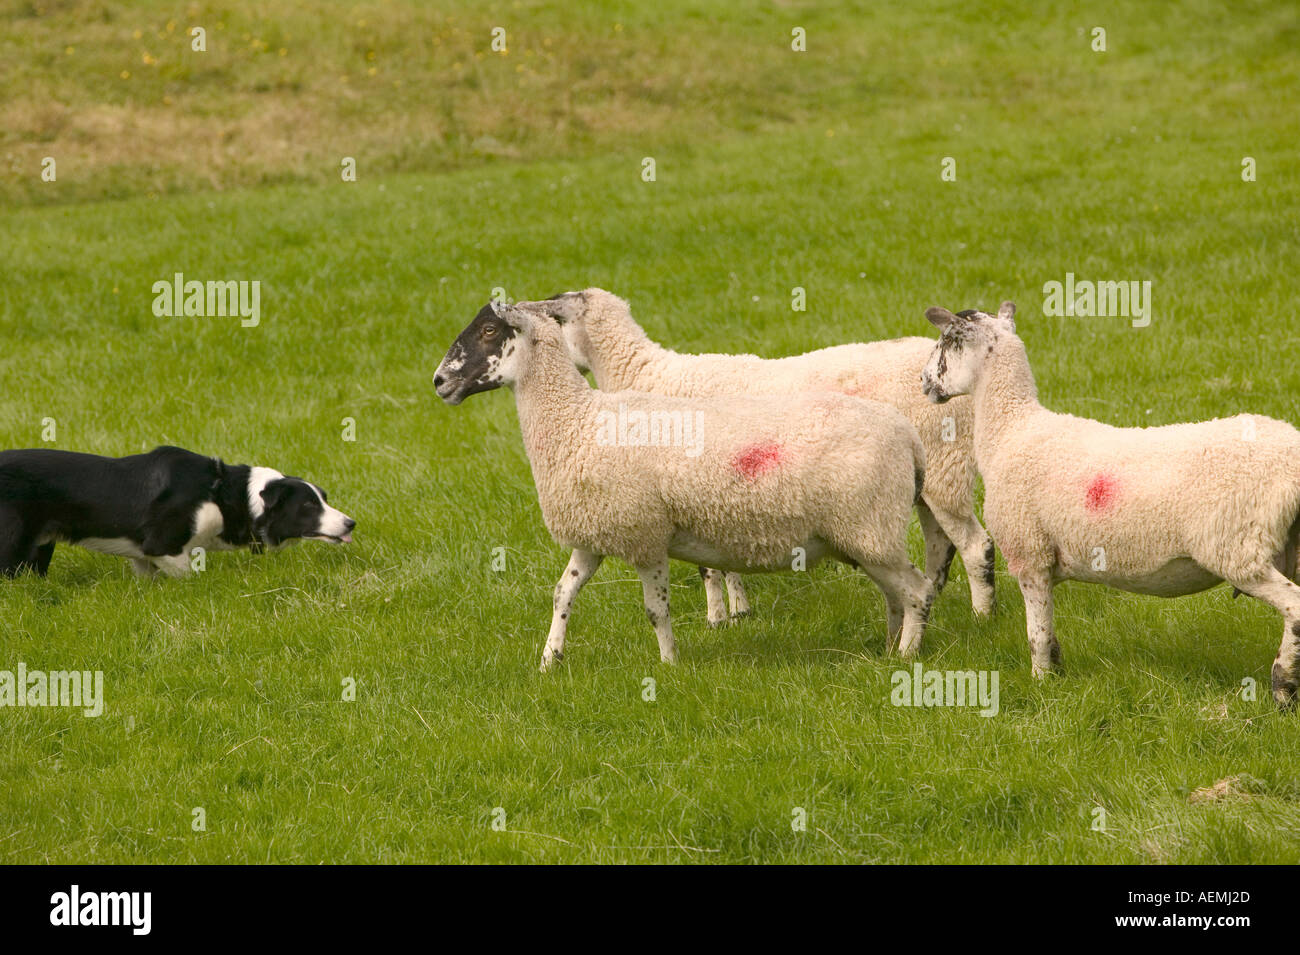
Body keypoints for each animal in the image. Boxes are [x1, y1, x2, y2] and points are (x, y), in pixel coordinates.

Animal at [434, 301, 935, 670]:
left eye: (489, 331)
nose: (438, 381)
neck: (576, 419)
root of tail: (909, 437)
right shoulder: (593, 534)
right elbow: (563, 592)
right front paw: (549, 659)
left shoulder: (646, 535)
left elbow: (656, 610)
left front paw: (670, 664)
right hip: (865, 536)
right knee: (896, 594)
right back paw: (889, 646)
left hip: (871, 528)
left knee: (918, 590)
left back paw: (905, 656)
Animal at [512, 289, 996, 624]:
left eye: (554, 315)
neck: (646, 372)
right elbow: (720, 560)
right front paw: (738, 609)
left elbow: (708, 568)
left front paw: (717, 617)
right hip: (924, 481)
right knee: (940, 547)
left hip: (940, 471)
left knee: (975, 546)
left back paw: (981, 615)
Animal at [921, 301, 1300, 708]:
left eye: (946, 342)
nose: (923, 382)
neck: (1011, 430)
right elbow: (1050, 635)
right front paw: (1057, 673)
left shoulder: (1030, 553)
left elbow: (1037, 635)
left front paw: (1041, 684)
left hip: (1238, 548)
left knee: (1294, 607)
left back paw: (1283, 687)